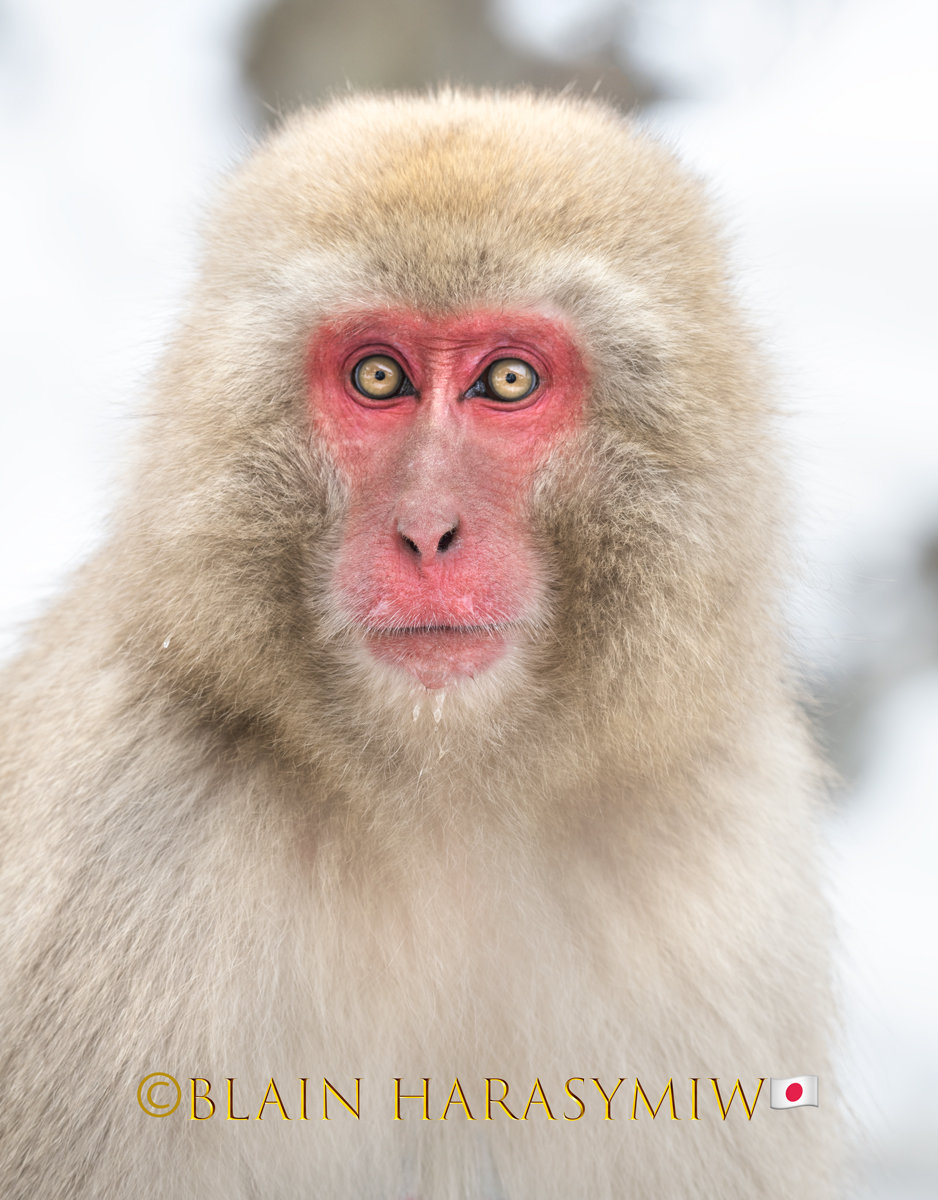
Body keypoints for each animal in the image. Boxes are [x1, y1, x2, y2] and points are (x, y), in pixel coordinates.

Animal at [0, 91, 840, 1199]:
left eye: (509, 380)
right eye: (379, 375)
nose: (428, 531)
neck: (444, 796)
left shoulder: (726, 894)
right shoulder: (120, 851)